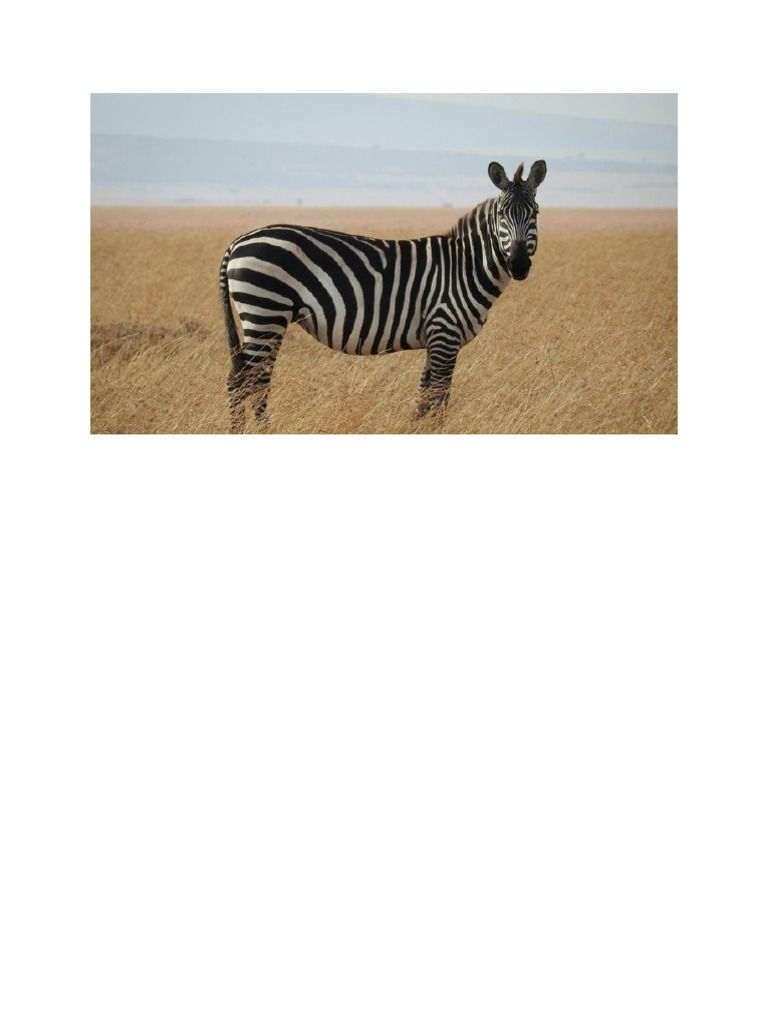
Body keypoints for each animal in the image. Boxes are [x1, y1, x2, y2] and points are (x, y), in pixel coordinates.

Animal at [220, 159, 547, 431]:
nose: (519, 265)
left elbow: (423, 397)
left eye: (535, 213)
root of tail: (238, 241)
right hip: (266, 312)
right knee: (245, 381)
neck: (464, 267)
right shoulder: (445, 333)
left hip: (267, 318)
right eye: (502, 215)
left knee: (251, 379)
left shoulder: (435, 338)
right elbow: (439, 397)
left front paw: (416, 430)